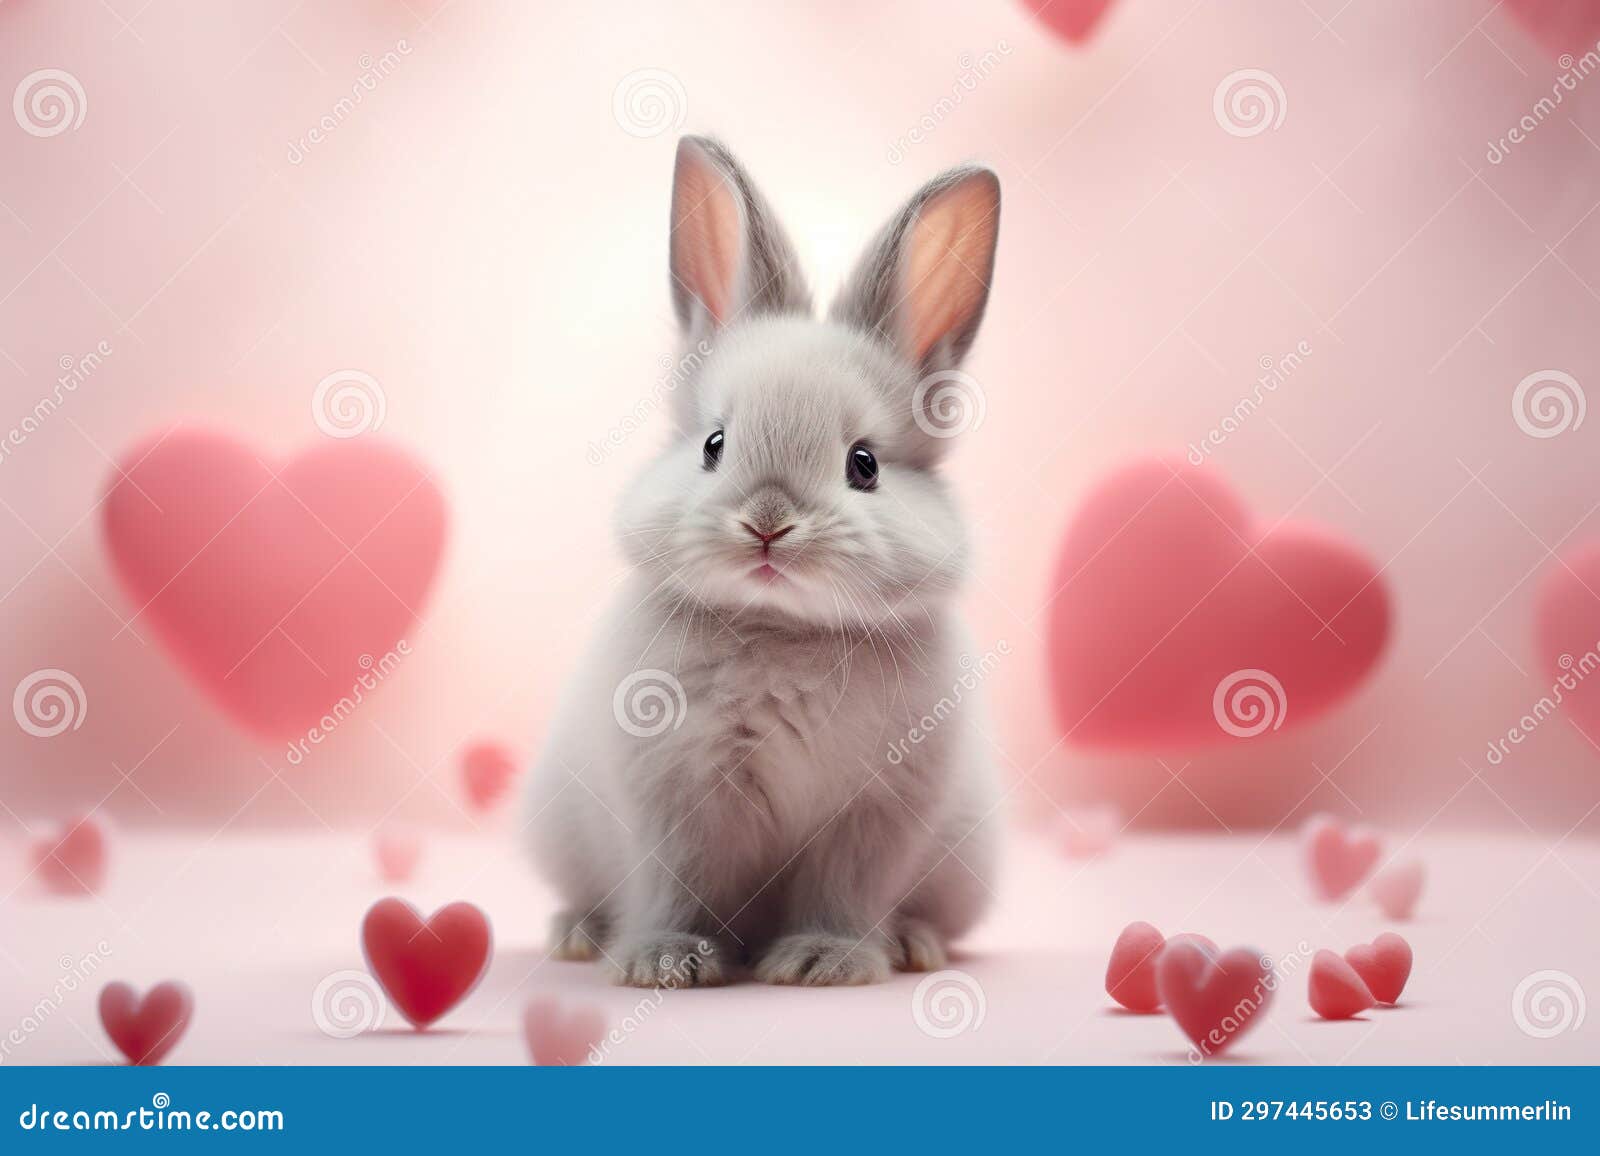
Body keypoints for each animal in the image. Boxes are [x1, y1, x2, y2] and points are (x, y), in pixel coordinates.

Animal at [526, 136, 1003, 987]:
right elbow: (676, 885)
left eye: (863, 465)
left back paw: (916, 945)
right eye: (714, 444)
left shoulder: (877, 817)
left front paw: (824, 962)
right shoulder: (673, 802)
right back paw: (577, 934)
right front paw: (664, 962)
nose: (769, 524)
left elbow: (843, 894)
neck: (785, 630)